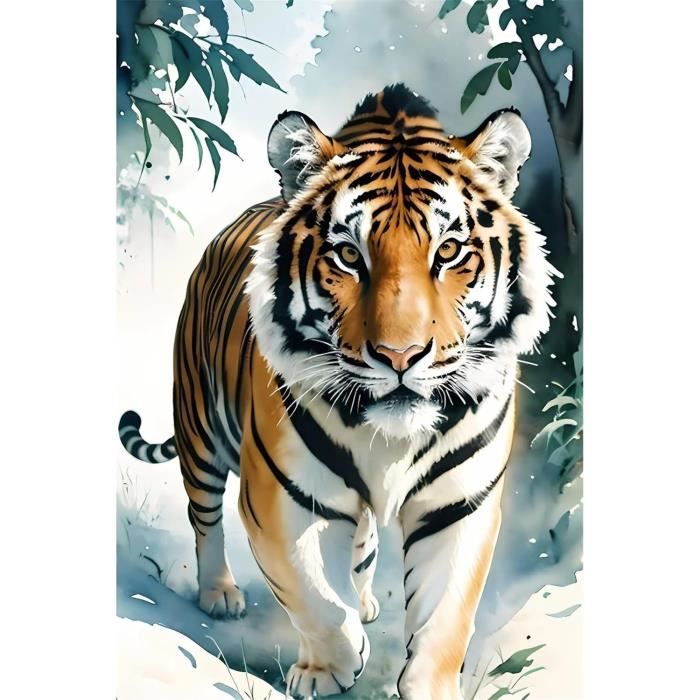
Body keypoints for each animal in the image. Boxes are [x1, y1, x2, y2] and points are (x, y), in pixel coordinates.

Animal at [119, 83, 558, 699]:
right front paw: (330, 668)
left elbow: (446, 615)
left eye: (448, 252)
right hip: (200, 431)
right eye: (349, 256)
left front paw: (425, 683)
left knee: (365, 544)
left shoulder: (459, 503)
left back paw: (367, 600)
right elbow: (313, 594)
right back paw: (219, 594)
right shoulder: (283, 495)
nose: (400, 356)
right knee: (203, 516)